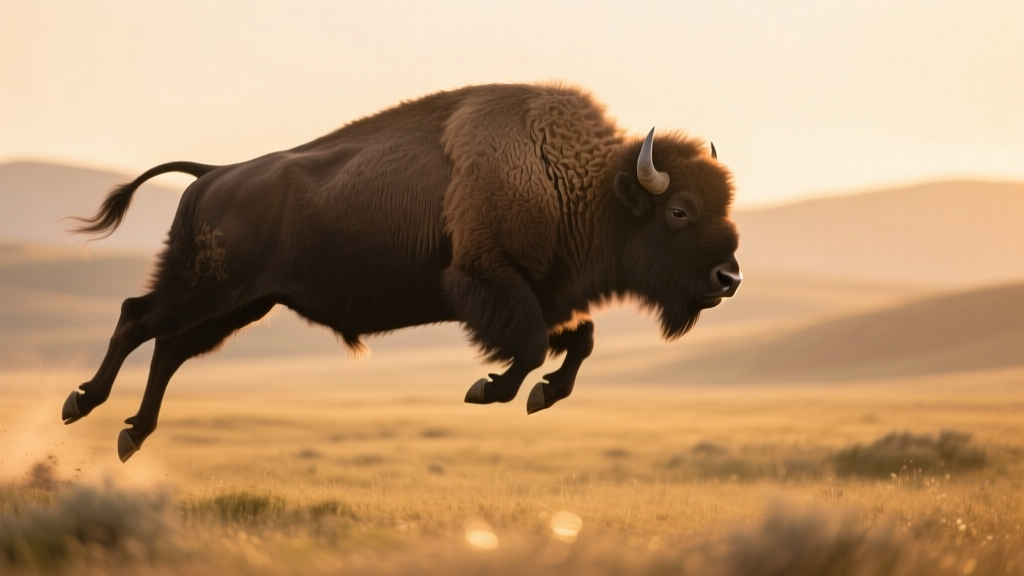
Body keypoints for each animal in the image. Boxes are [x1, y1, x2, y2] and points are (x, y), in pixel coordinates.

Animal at [62, 83, 741, 462]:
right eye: (680, 210)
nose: (728, 279)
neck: (576, 183)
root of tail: (213, 173)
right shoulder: (489, 281)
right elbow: (527, 348)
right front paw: (489, 389)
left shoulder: (547, 298)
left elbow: (579, 342)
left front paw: (542, 394)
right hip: (210, 288)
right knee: (137, 320)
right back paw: (82, 403)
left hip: (239, 304)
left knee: (169, 347)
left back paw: (132, 434)